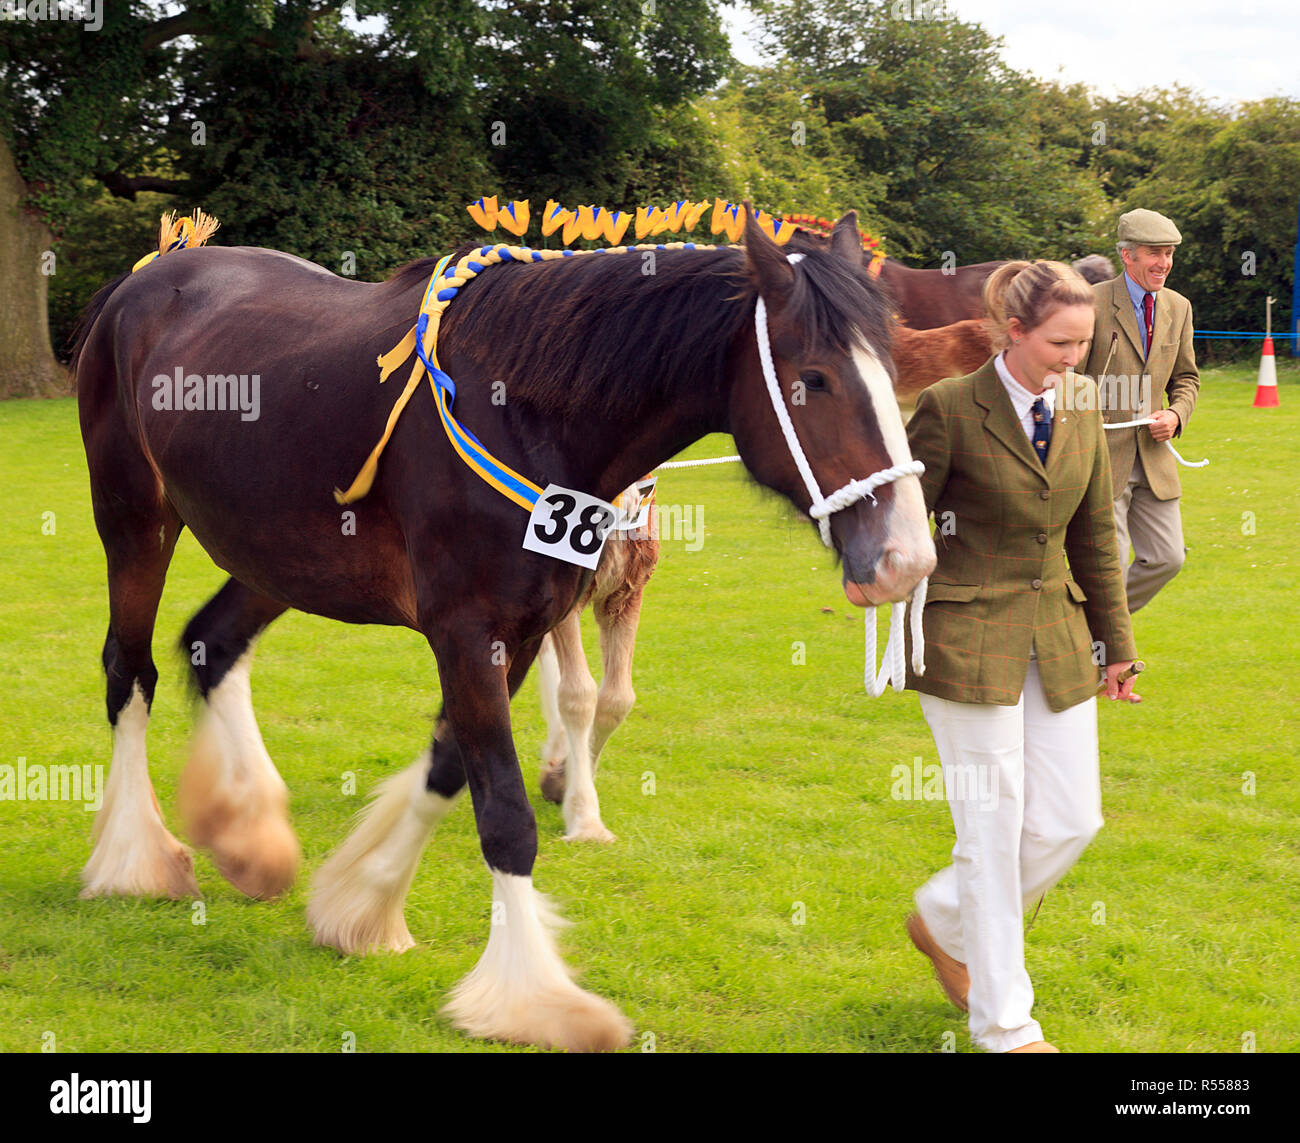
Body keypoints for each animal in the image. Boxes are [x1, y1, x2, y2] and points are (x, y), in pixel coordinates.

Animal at [71, 206, 935, 1051]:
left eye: (895, 374)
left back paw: (249, 832)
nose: (906, 557)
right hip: (135, 522)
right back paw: (135, 858)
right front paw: (535, 998)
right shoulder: (467, 631)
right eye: (812, 378)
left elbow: (452, 767)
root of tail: (145, 279)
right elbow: (508, 817)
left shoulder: (520, 633)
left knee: (211, 644)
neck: (520, 408)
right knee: (130, 671)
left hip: (276, 556)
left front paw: (361, 905)